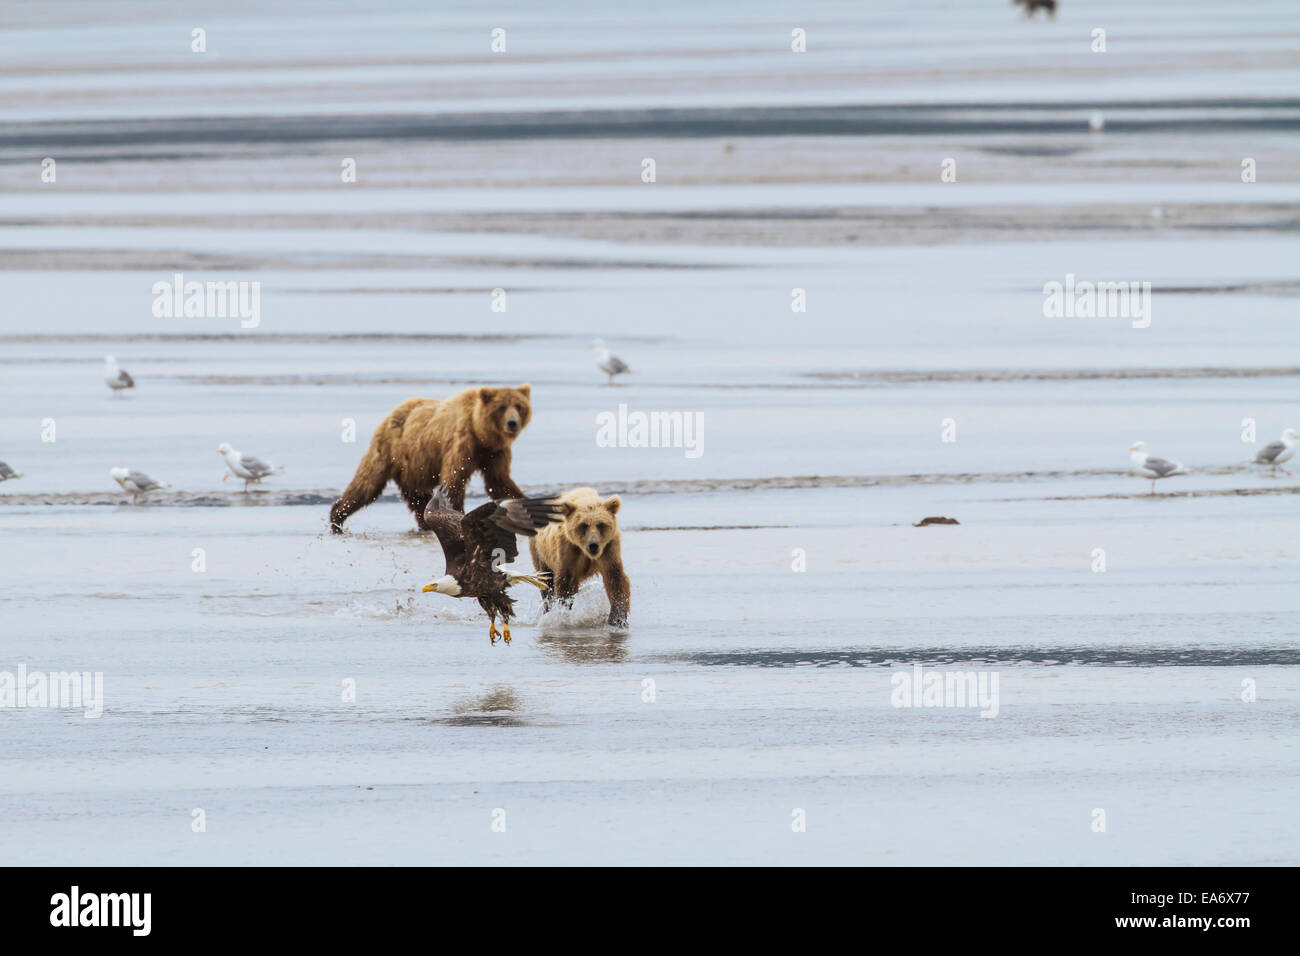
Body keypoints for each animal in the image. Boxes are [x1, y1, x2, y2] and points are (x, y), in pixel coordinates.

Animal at [329, 384, 533, 533]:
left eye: (519, 406)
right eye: (501, 407)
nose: (512, 423)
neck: (481, 434)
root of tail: (390, 415)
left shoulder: (494, 453)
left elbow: (499, 481)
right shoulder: (461, 443)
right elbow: (455, 479)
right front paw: (457, 515)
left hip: (411, 467)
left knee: (417, 498)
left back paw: (425, 524)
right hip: (389, 451)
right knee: (367, 483)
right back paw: (337, 517)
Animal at [529, 487, 630, 627]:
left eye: (601, 524)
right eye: (583, 525)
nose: (593, 545)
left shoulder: (608, 548)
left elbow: (615, 578)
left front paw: (617, 618)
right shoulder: (569, 550)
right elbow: (565, 583)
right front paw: (563, 613)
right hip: (540, 552)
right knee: (546, 582)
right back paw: (548, 609)